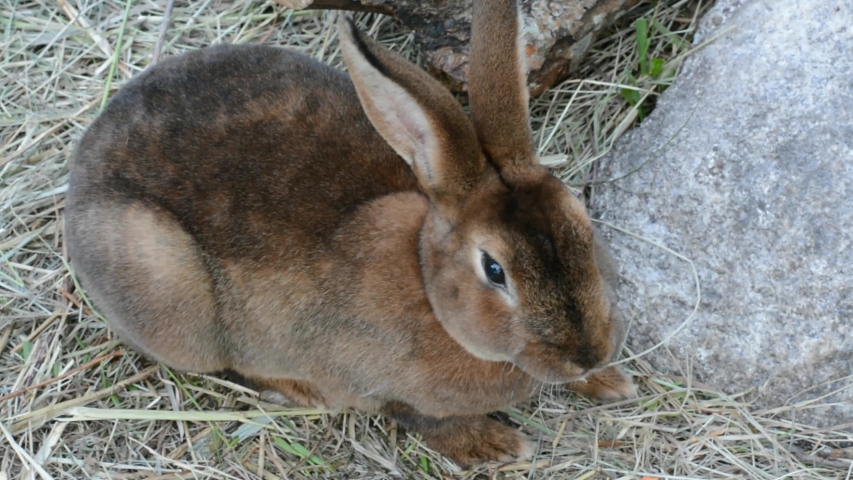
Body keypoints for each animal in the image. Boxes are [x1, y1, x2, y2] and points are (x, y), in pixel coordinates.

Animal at [64, 0, 636, 466]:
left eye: (581, 219)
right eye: (494, 270)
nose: (588, 353)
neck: (429, 289)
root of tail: (83, 168)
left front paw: (610, 382)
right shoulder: (380, 387)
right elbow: (420, 420)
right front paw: (496, 445)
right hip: (172, 288)